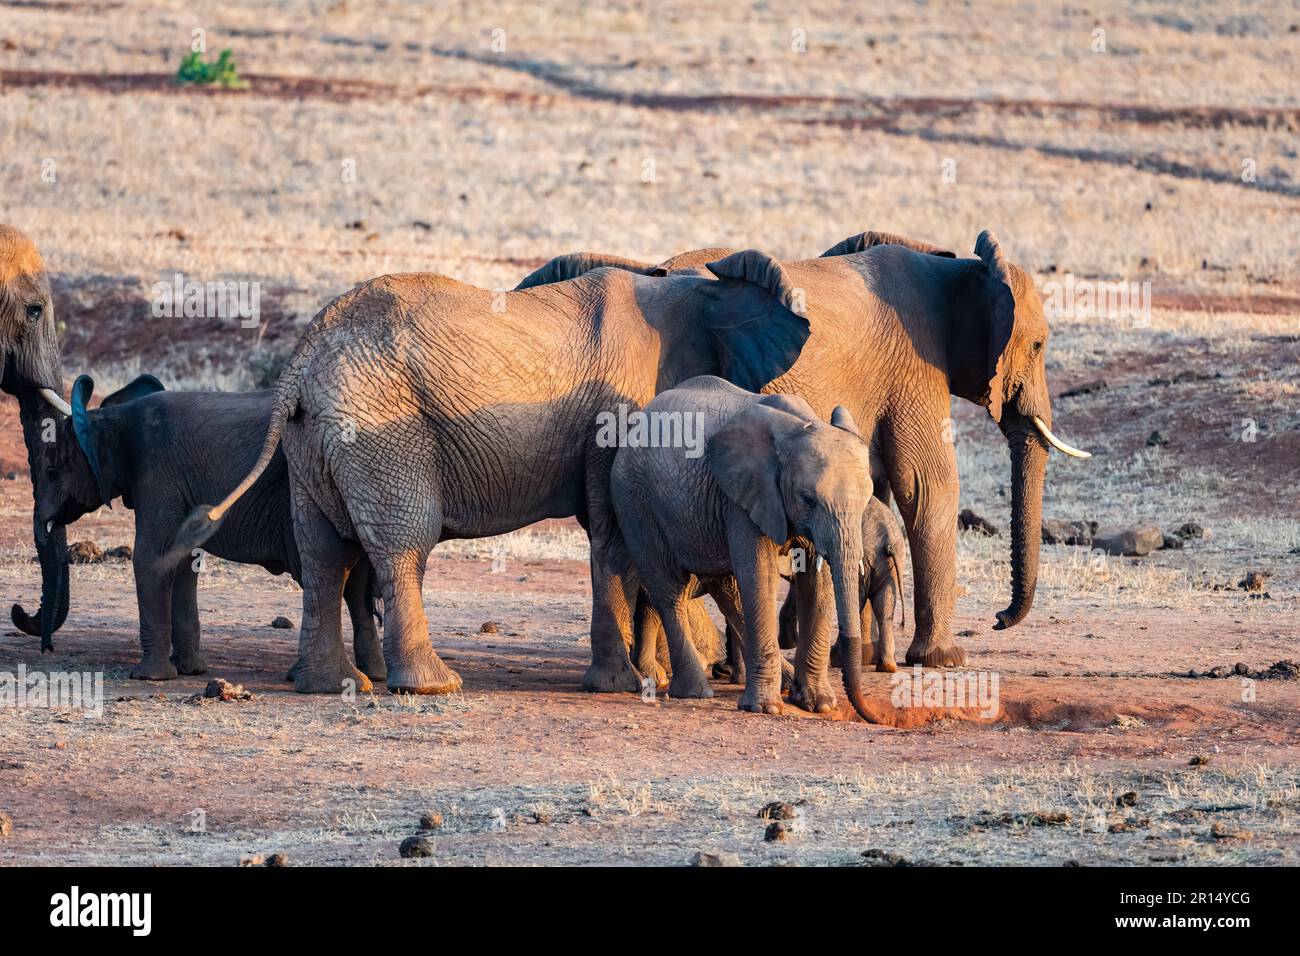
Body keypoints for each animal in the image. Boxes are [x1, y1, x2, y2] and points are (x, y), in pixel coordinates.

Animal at [16, 374, 383, 682]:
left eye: (51, 472)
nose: (47, 648)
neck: (111, 417)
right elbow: (183, 563)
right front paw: (190, 671)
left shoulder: (157, 475)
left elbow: (151, 557)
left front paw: (148, 677)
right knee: (354, 581)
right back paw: (372, 675)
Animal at [170, 252, 809, 695]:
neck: (680, 292)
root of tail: (299, 366)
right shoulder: (616, 409)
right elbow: (612, 534)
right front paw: (620, 686)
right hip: (378, 432)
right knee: (403, 545)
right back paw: (432, 686)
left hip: (312, 443)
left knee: (325, 554)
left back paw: (334, 685)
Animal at [519, 229, 1091, 671]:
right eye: (1038, 345)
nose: (998, 619)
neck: (958, 269)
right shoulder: (914, 365)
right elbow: (926, 486)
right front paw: (942, 660)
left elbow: (875, 491)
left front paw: (856, 655)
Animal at [611, 374, 893, 719]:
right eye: (808, 499)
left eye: (867, 498)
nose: (874, 715)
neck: (799, 427)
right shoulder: (744, 497)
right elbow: (761, 575)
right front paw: (766, 708)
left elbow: (817, 581)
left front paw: (819, 704)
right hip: (634, 499)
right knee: (669, 590)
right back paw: (696, 692)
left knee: (729, 592)